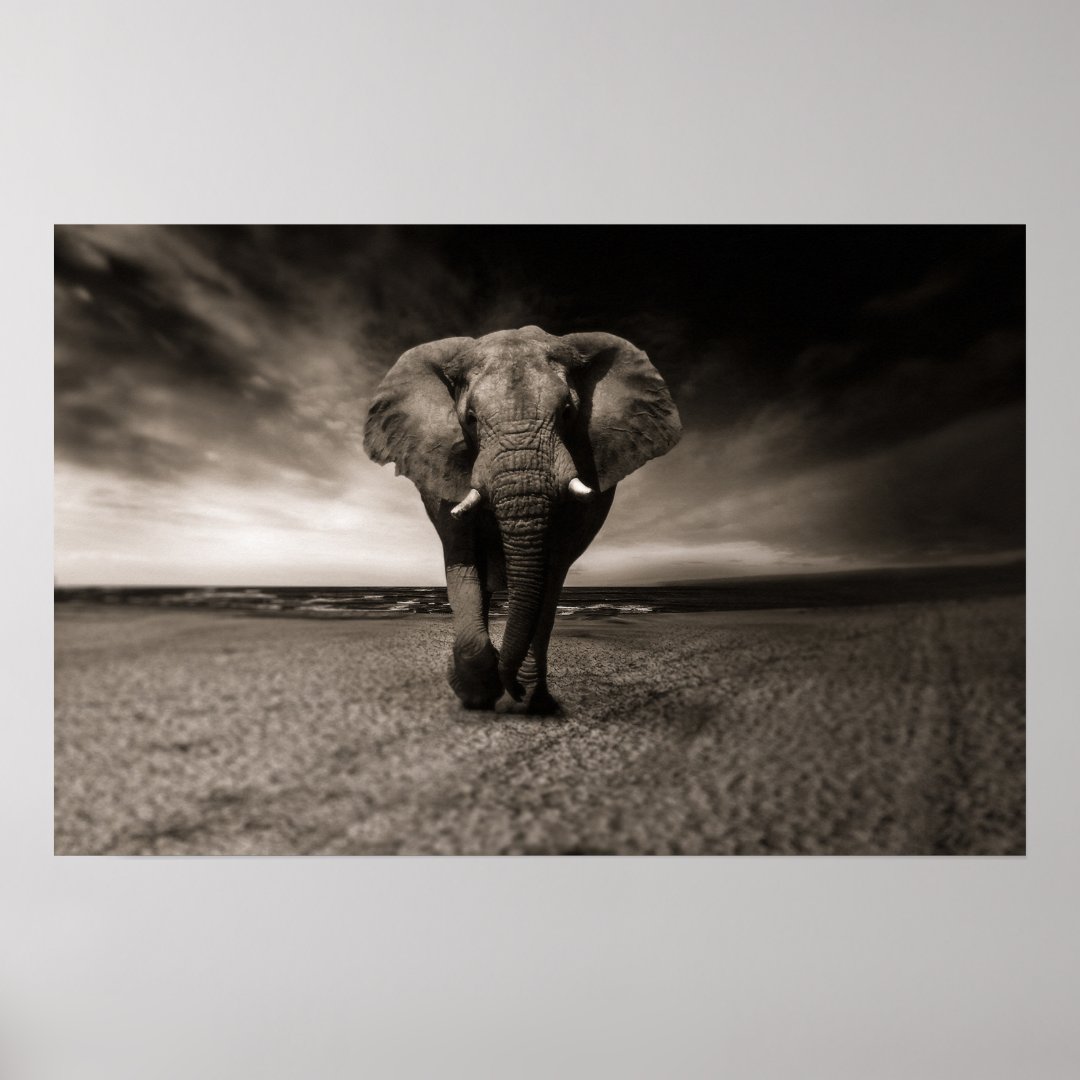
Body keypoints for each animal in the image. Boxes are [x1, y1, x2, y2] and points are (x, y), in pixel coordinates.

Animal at [362, 325, 681, 714]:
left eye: (568, 412)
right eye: (470, 418)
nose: (510, 686)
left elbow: (552, 569)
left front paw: (523, 697)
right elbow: (462, 557)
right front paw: (477, 693)